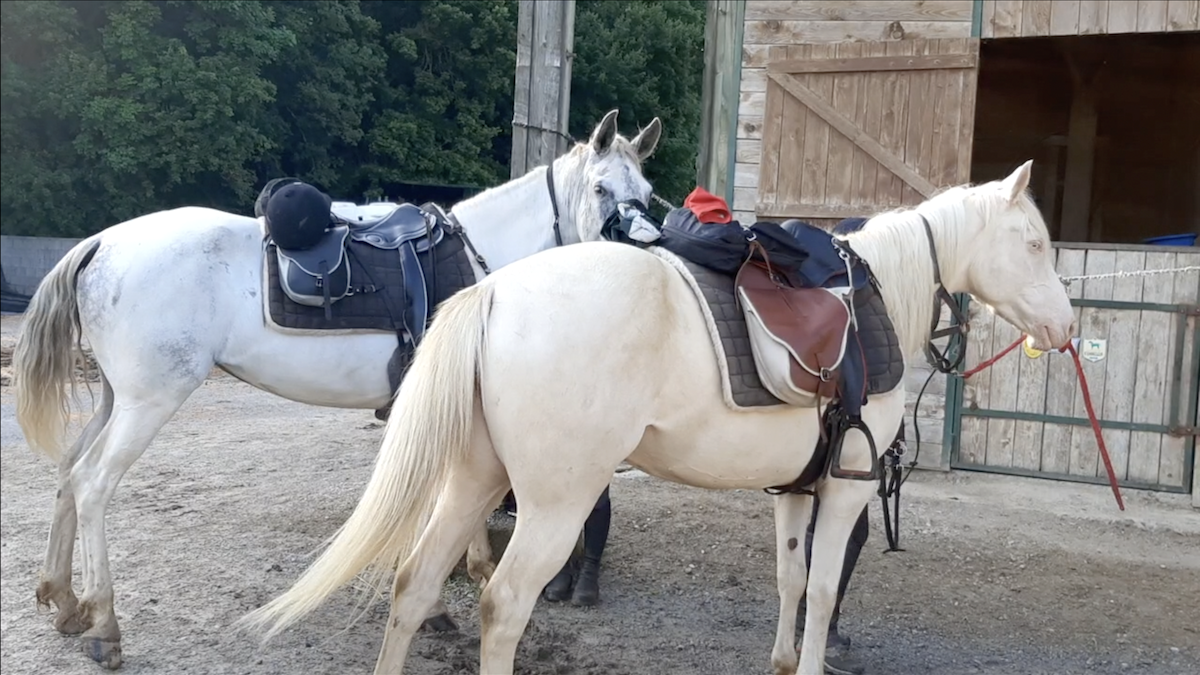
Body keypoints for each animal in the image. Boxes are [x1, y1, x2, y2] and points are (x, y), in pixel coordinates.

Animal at [11, 108, 662, 670]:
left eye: (646, 189)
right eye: (601, 188)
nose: (643, 249)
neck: (486, 269)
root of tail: (102, 243)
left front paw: (459, 578)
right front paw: (446, 595)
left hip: (117, 398)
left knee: (69, 470)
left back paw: (63, 600)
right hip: (149, 401)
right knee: (93, 483)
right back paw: (103, 625)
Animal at [242, 161, 1076, 675]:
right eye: (1034, 242)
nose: (1065, 326)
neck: (875, 296)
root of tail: (494, 293)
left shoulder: (797, 490)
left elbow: (790, 578)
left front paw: (781, 662)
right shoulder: (845, 490)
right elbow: (823, 590)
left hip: (473, 482)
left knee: (414, 585)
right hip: (552, 505)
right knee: (503, 604)